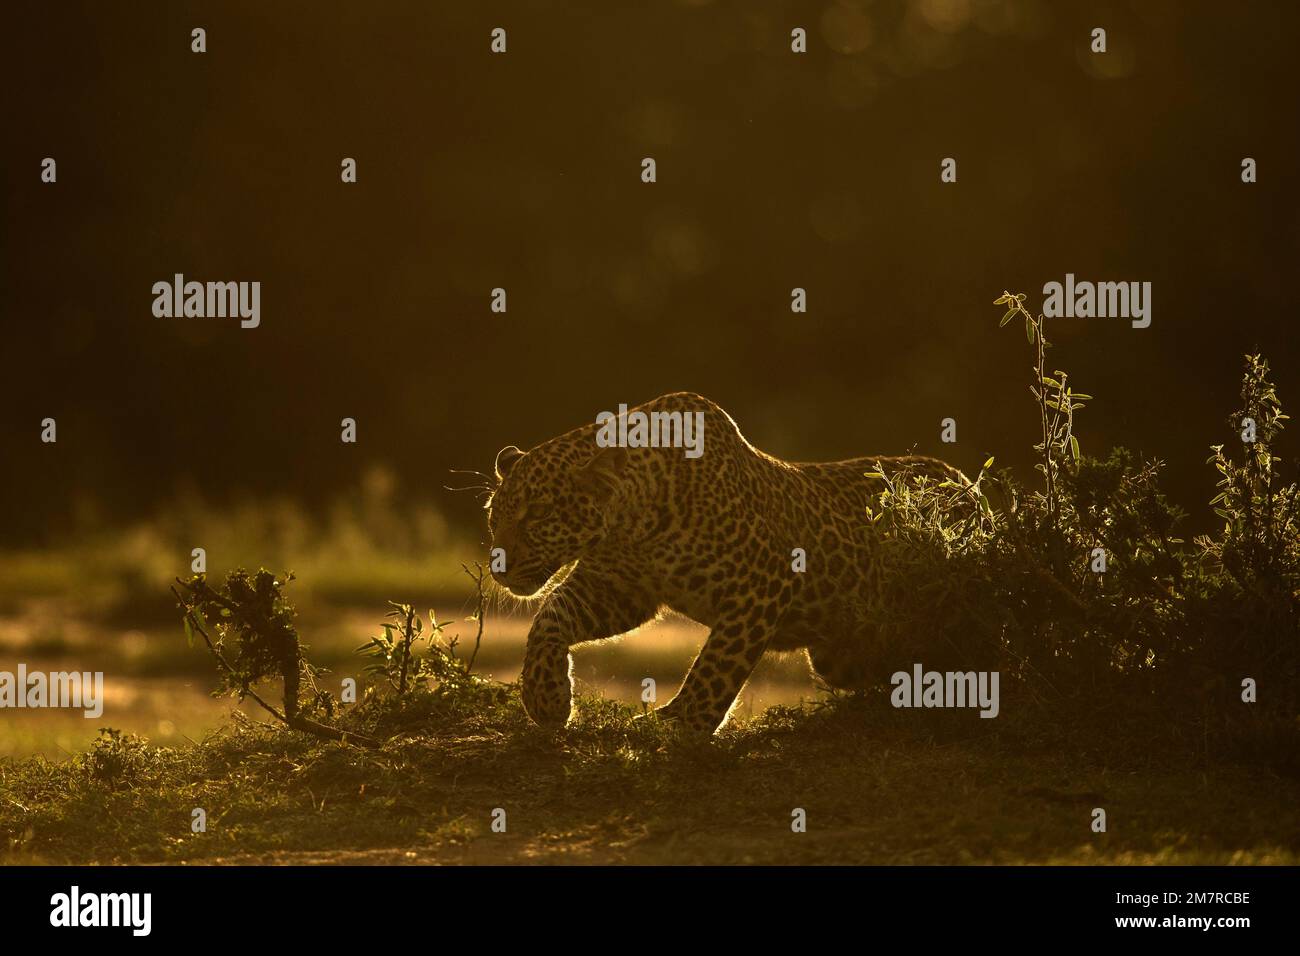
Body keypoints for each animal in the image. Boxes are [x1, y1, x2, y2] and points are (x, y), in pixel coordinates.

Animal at [484, 391, 970, 736]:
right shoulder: (618, 588)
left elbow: (715, 665)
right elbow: (549, 618)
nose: (498, 569)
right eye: (494, 515)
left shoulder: (761, 583)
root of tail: (967, 483)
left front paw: (679, 723)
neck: (631, 523)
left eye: (537, 513)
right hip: (836, 657)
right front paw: (545, 697)